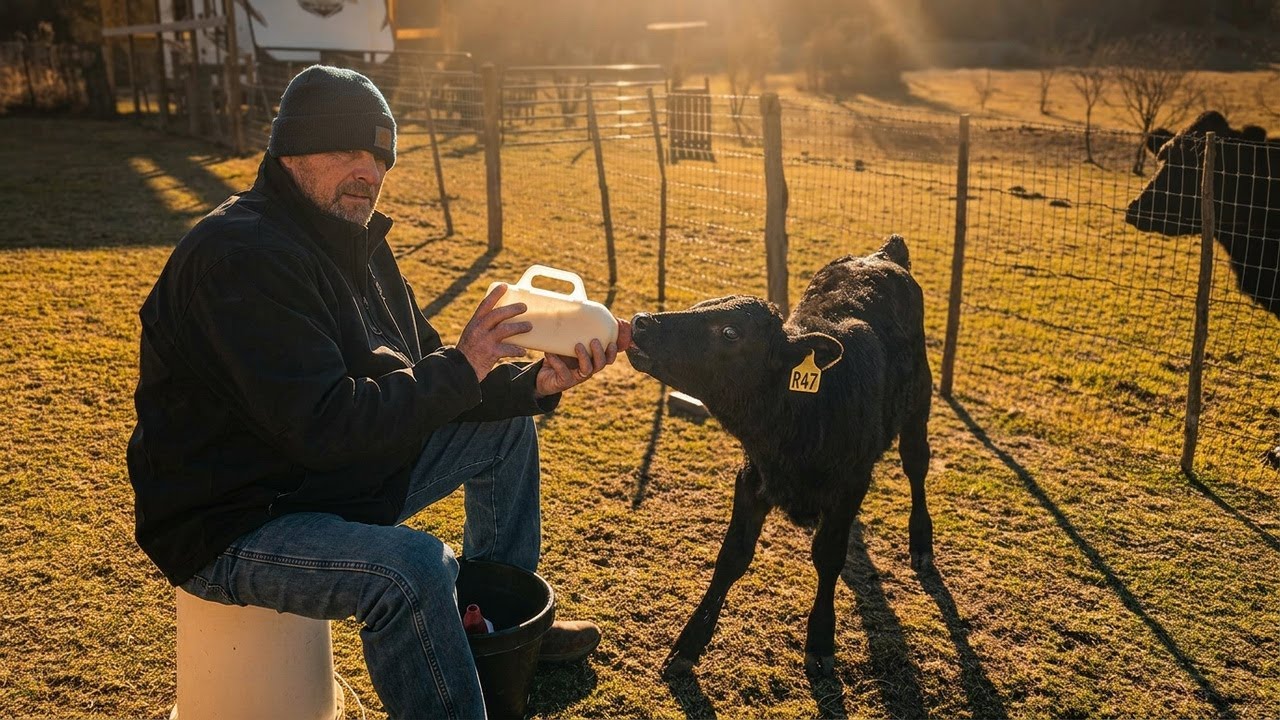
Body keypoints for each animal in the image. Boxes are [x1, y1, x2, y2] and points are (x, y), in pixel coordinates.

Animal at [626, 234, 935, 678]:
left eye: (730, 332)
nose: (640, 322)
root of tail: (883, 254)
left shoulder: (851, 484)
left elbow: (828, 556)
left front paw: (821, 640)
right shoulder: (752, 477)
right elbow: (732, 555)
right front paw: (689, 642)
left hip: (918, 402)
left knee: (916, 464)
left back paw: (921, 541)